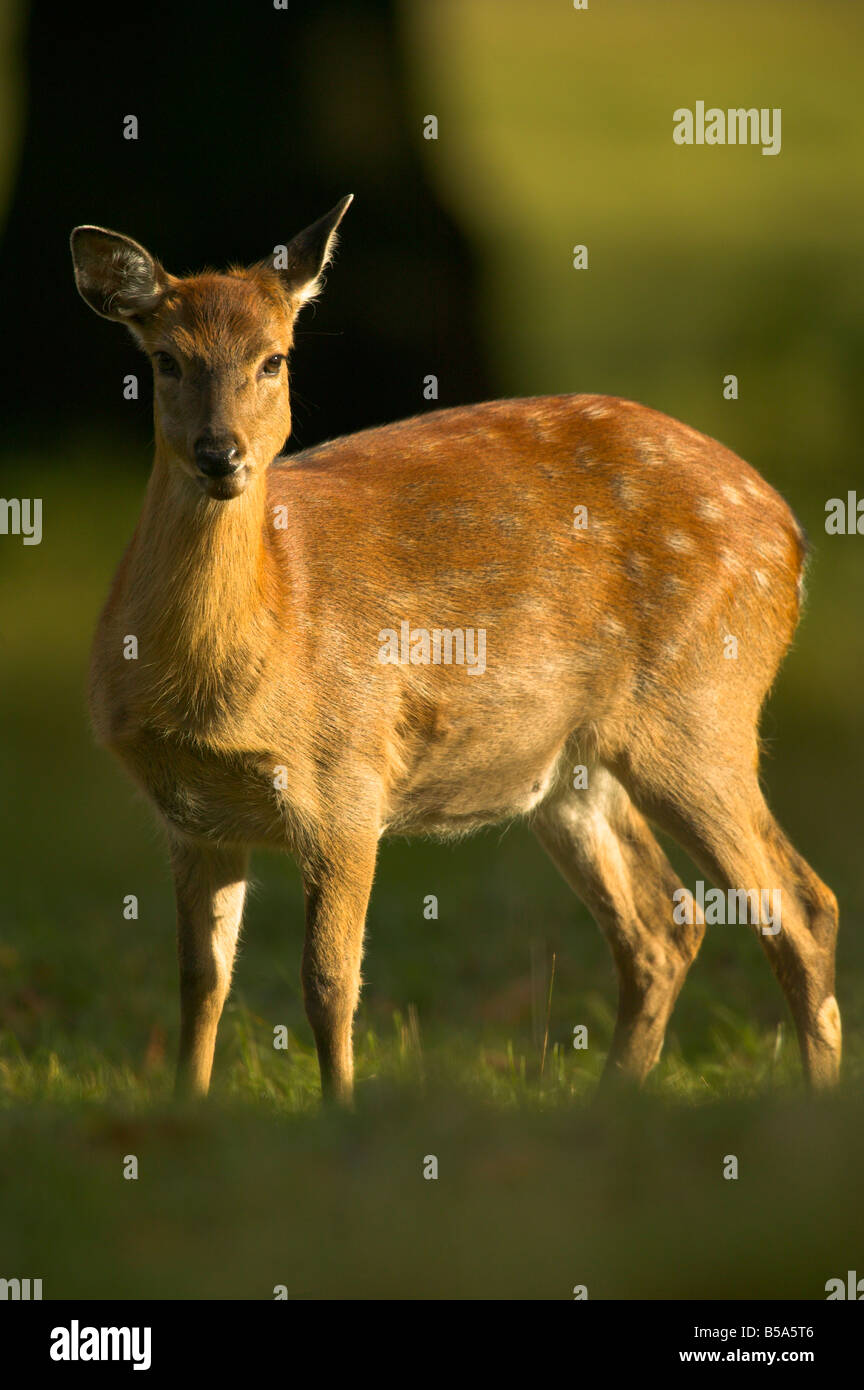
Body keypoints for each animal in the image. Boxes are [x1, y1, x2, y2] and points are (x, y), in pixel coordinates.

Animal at [70, 197, 841, 1105]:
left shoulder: (348, 776)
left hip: (701, 708)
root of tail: (790, 535)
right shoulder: (191, 817)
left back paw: (811, 1098)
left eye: (274, 359)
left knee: (801, 905)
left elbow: (330, 983)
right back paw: (611, 1098)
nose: (220, 455)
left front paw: (339, 1112)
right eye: (165, 360)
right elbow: (200, 983)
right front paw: (190, 1108)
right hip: (573, 766)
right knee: (663, 921)